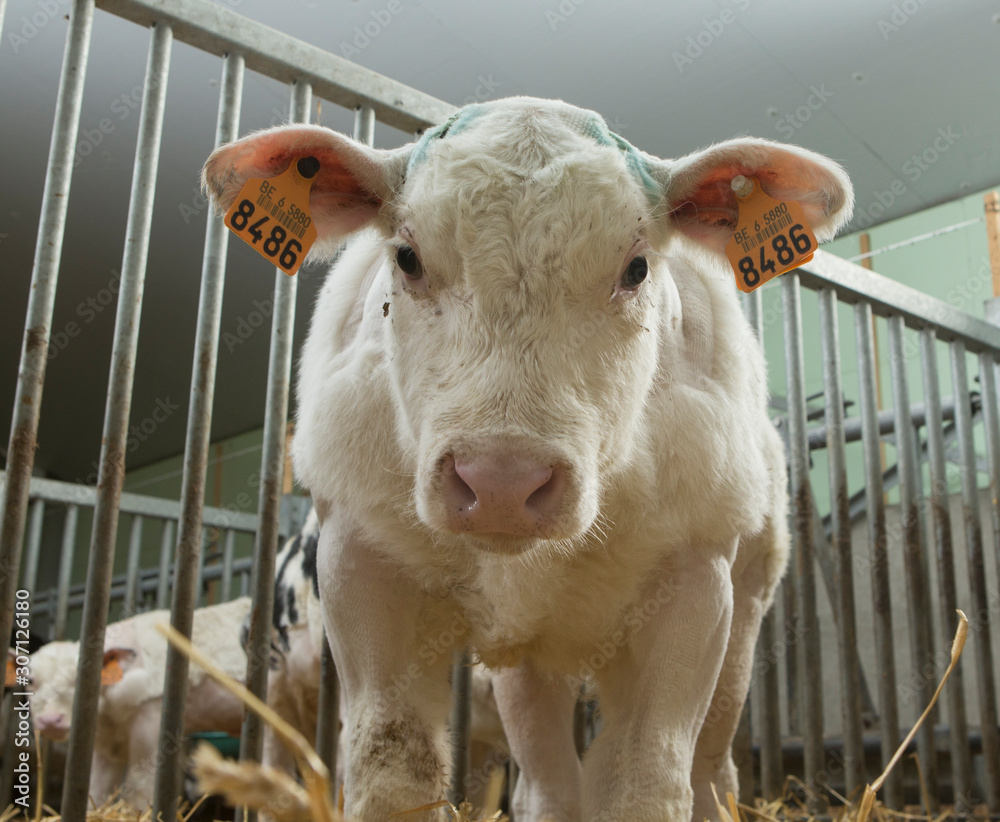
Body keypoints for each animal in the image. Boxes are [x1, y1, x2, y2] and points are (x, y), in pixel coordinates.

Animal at [28, 597, 251, 810]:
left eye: (80, 678)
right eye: (29, 681)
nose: (50, 720)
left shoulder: (149, 724)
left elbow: (139, 791)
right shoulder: (105, 745)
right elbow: (95, 791)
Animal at [203, 96, 852, 821]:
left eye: (636, 269)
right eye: (407, 257)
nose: (502, 482)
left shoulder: (694, 583)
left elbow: (644, 778)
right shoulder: (359, 562)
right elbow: (393, 765)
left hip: (746, 604)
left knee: (712, 766)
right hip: (531, 661)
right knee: (547, 781)